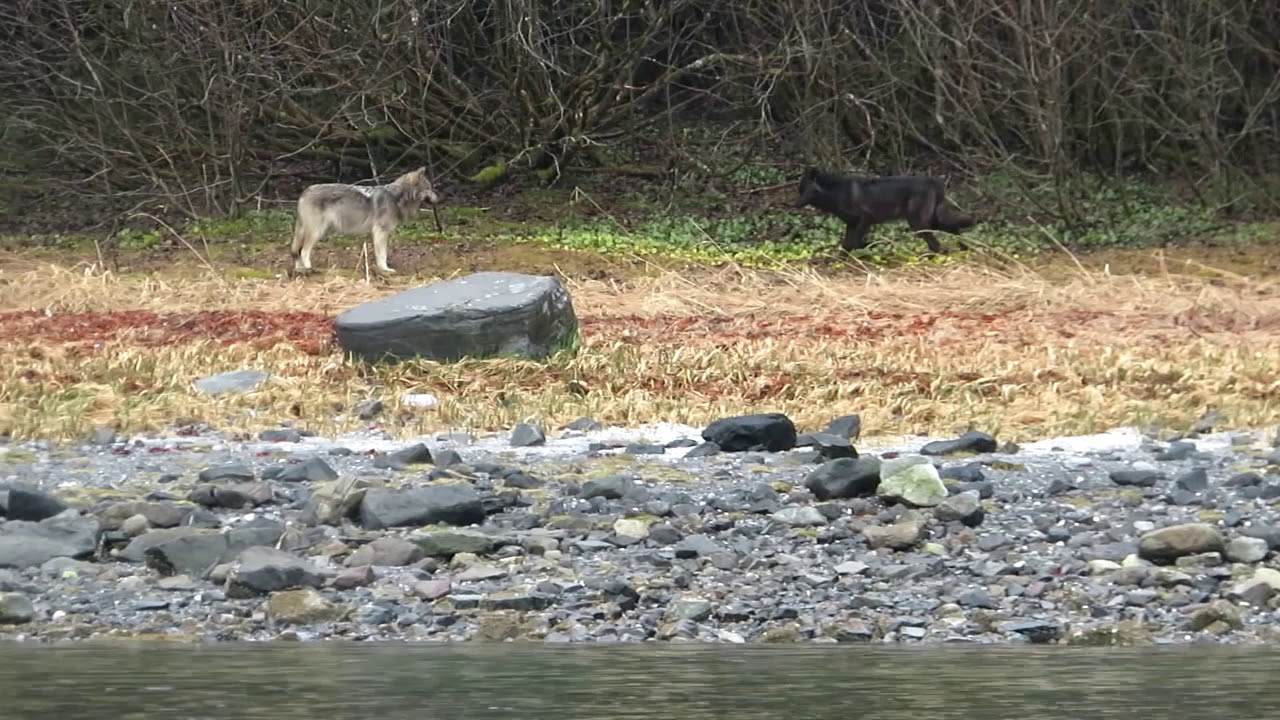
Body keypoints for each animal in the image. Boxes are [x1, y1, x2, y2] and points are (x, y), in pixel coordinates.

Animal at [290, 167, 441, 276]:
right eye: (428, 188)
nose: (439, 199)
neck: (396, 198)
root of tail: (304, 192)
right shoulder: (380, 232)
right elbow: (382, 254)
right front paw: (385, 270)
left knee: (297, 251)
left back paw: (300, 270)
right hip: (317, 232)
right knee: (304, 251)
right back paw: (310, 269)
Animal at [795, 168, 976, 255]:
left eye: (804, 190)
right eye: (800, 190)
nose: (794, 204)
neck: (836, 193)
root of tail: (934, 181)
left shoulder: (865, 219)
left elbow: (854, 244)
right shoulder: (851, 225)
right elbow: (847, 245)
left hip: (919, 224)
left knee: (936, 243)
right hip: (931, 222)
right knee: (953, 230)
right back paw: (964, 249)